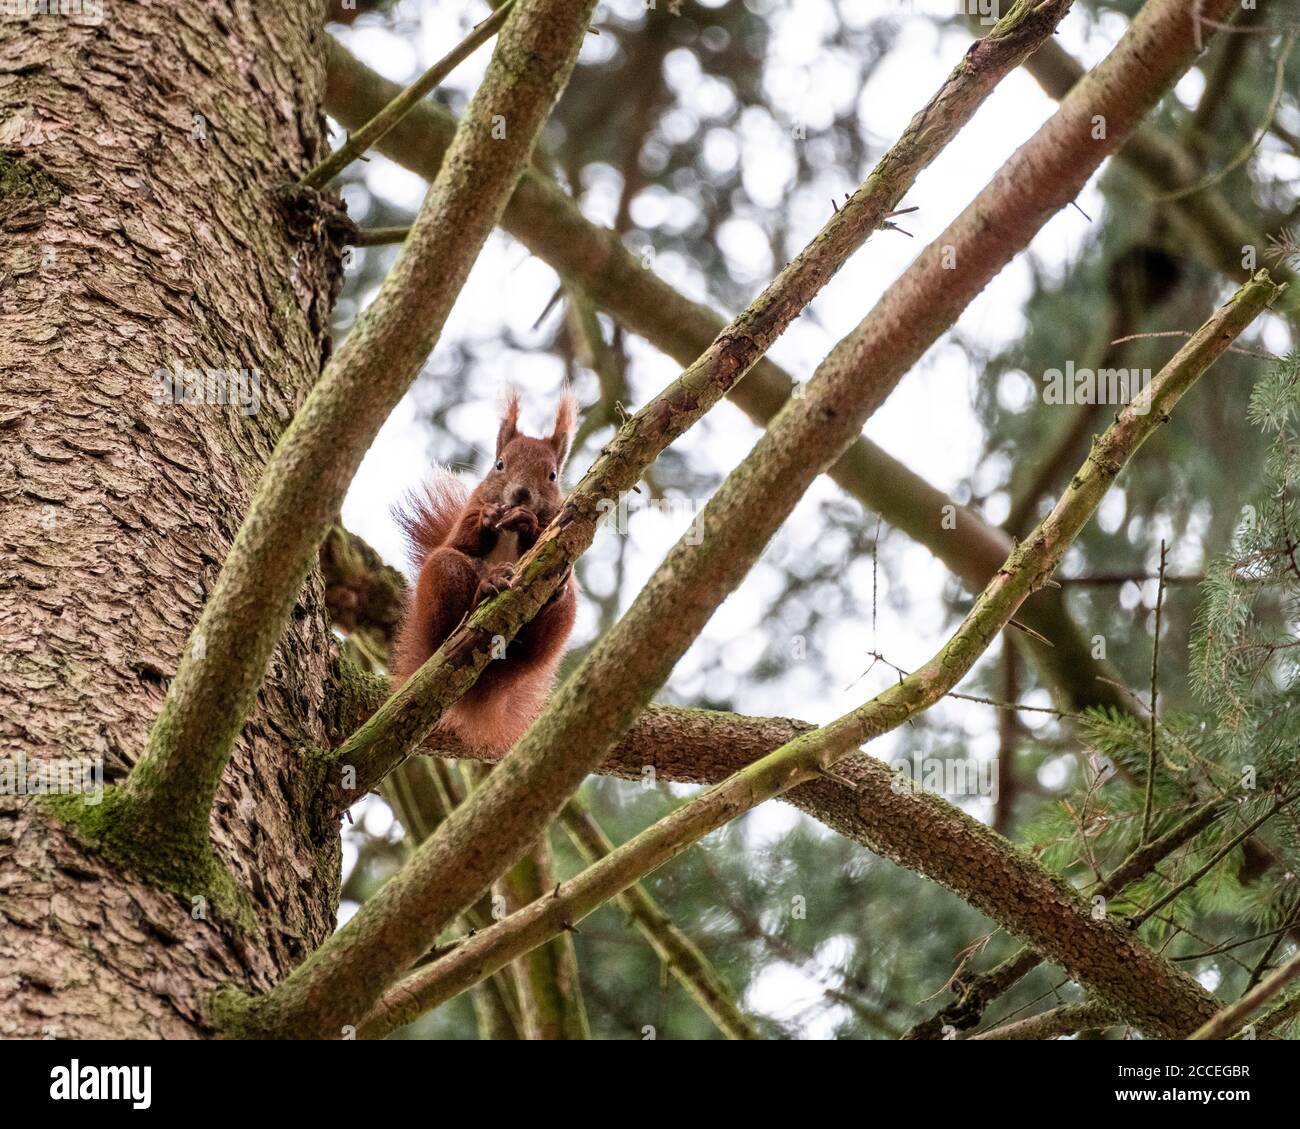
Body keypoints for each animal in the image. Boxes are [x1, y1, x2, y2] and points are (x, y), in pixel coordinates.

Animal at [390, 389, 579, 752]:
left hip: (560, 621)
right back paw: (485, 589)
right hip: (445, 577)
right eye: (499, 464)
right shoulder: (471, 509)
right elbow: (462, 539)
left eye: (551, 475)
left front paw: (528, 523)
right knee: (451, 586)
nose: (520, 493)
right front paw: (489, 518)